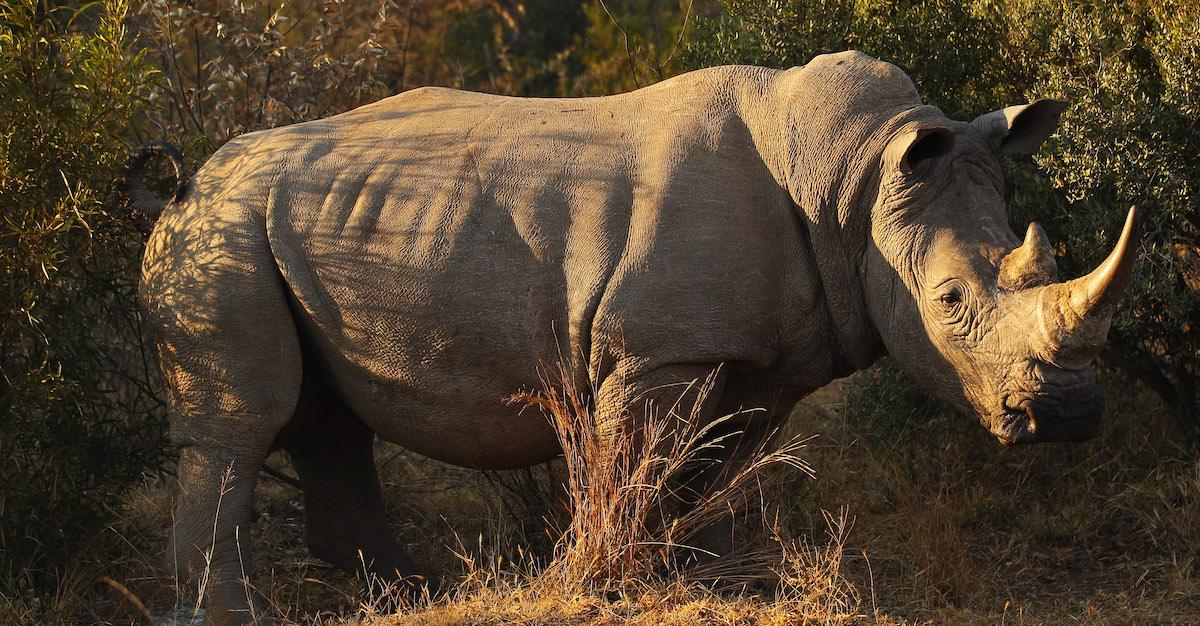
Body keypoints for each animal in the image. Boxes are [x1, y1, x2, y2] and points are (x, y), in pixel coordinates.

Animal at [120, 51, 1137, 624]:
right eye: (952, 298)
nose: (1074, 416)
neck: (854, 181)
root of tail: (185, 182)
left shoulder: (763, 358)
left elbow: (717, 464)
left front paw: (711, 580)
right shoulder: (657, 351)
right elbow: (632, 462)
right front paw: (597, 580)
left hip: (296, 224)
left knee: (330, 422)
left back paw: (405, 596)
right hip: (222, 231)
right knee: (244, 422)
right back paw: (238, 613)